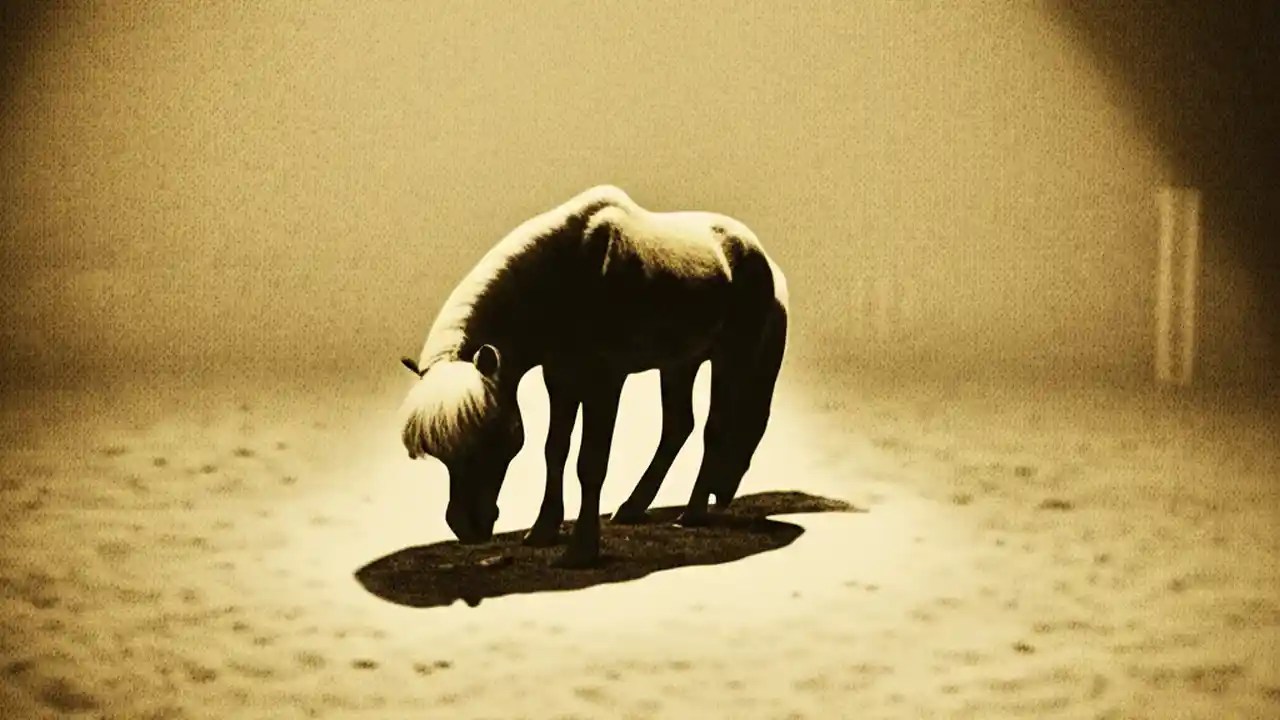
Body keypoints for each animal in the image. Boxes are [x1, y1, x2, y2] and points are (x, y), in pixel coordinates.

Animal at [398, 185, 789, 568]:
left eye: (494, 437)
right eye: (442, 454)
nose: (467, 527)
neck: (564, 276)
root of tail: (762, 258)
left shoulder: (605, 382)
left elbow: (591, 462)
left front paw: (581, 551)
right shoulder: (560, 378)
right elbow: (555, 450)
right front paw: (542, 530)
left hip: (729, 356)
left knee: (716, 427)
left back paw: (692, 513)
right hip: (680, 363)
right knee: (679, 426)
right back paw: (633, 507)